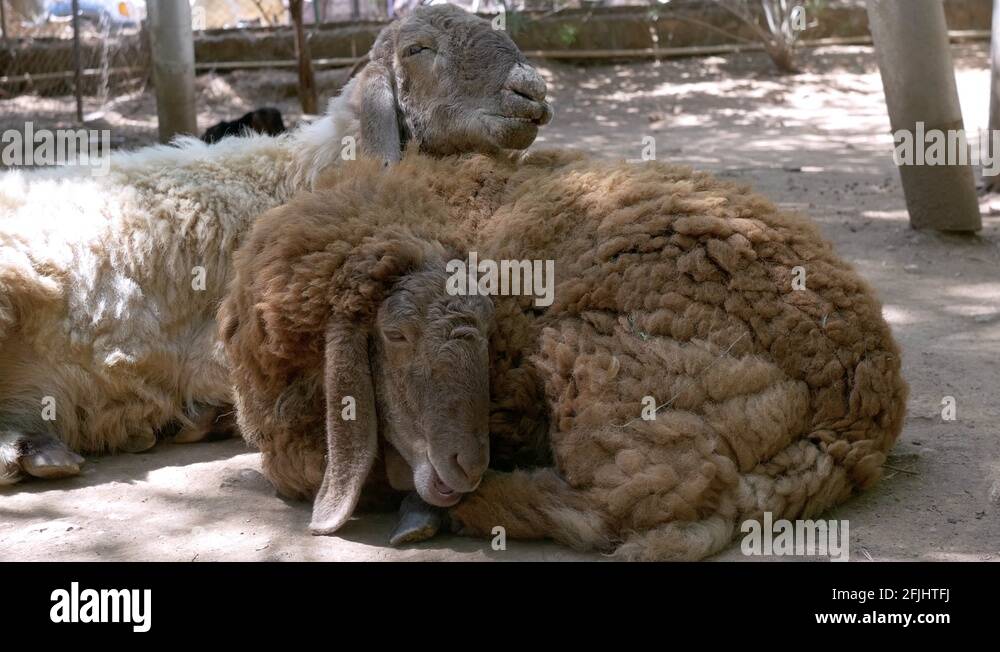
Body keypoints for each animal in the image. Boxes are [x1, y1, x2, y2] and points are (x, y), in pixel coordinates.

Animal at [221, 150, 908, 559]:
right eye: (394, 336)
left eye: (484, 335)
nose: (466, 464)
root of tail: (859, 417)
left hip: (612, 378)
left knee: (630, 508)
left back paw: (473, 507)